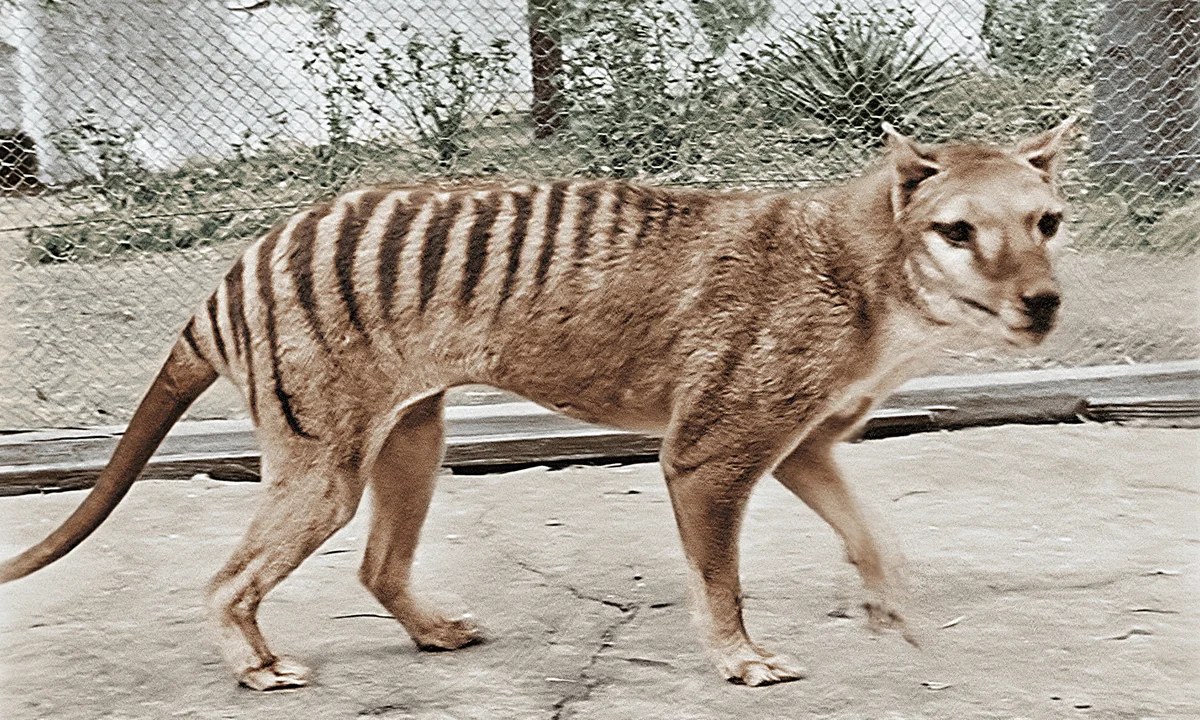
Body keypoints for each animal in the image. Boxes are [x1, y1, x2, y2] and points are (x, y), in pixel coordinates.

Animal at [1, 119, 1073, 690]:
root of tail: (235, 271)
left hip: (411, 438)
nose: (1044, 302)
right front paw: (738, 660)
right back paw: (256, 665)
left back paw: (428, 631)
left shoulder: (801, 440)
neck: (861, 265)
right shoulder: (712, 451)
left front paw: (889, 600)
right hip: (326, 467)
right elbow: (722, 580)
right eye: (957, 231)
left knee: (378, 566)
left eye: (1048, 221)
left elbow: (871, 531)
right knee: (231, 581)